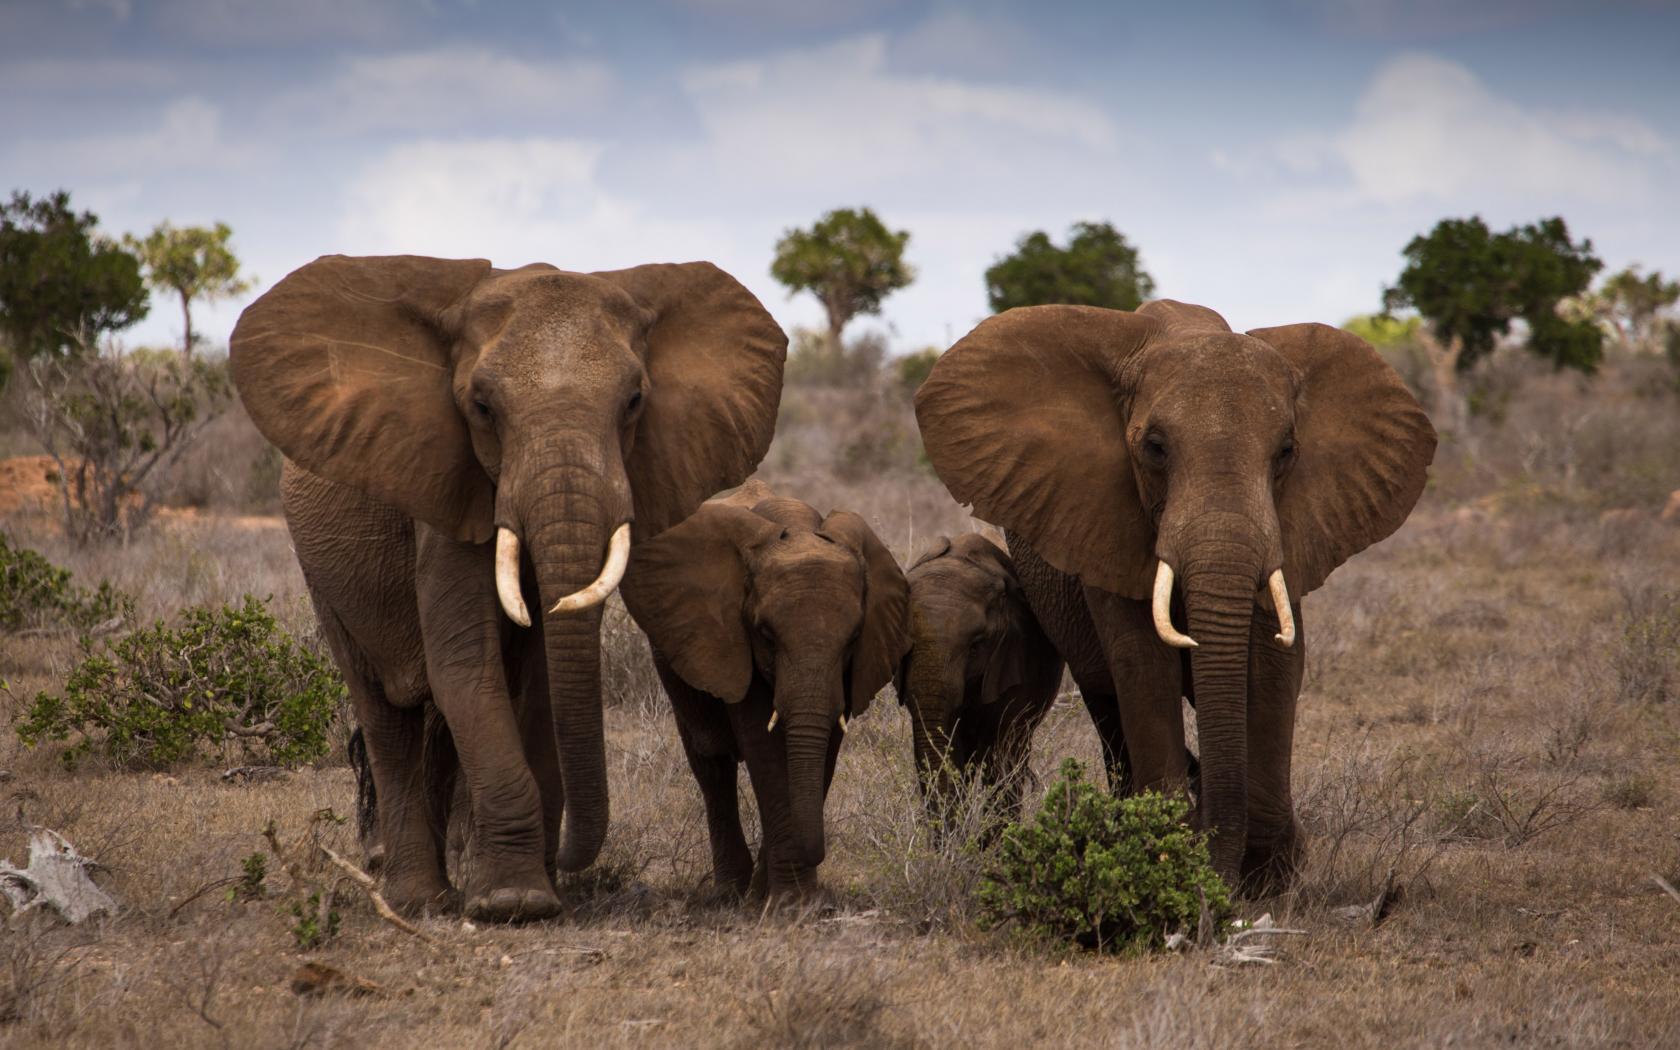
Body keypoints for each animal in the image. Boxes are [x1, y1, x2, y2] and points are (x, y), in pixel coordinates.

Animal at [229, 254, 786, 921]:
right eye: (481, 406)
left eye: (634, 401)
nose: (569, 856)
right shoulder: (445, 486)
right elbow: (465, 665)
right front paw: (513, 904)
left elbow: (540, 677)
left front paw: (533, 891)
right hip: (320, 570)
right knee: (385, 711)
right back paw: (418, 900)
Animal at [619, 480, 910, 898]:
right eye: (765, 634)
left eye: (854, 637)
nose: (818, 853)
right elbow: (764, 747)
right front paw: (790, 900)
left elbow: (824, 747)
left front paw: (782, 894)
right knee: (711, 761)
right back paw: (729, 891)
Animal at [914, 299, 1435, 892]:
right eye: (1154, 448)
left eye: (1286, 452)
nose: (1224, 878)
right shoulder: (1104, 523)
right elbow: (1143, 662)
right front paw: (1170, 852)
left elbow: (1276, 666)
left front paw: (1270, 876)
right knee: (1107, 703)